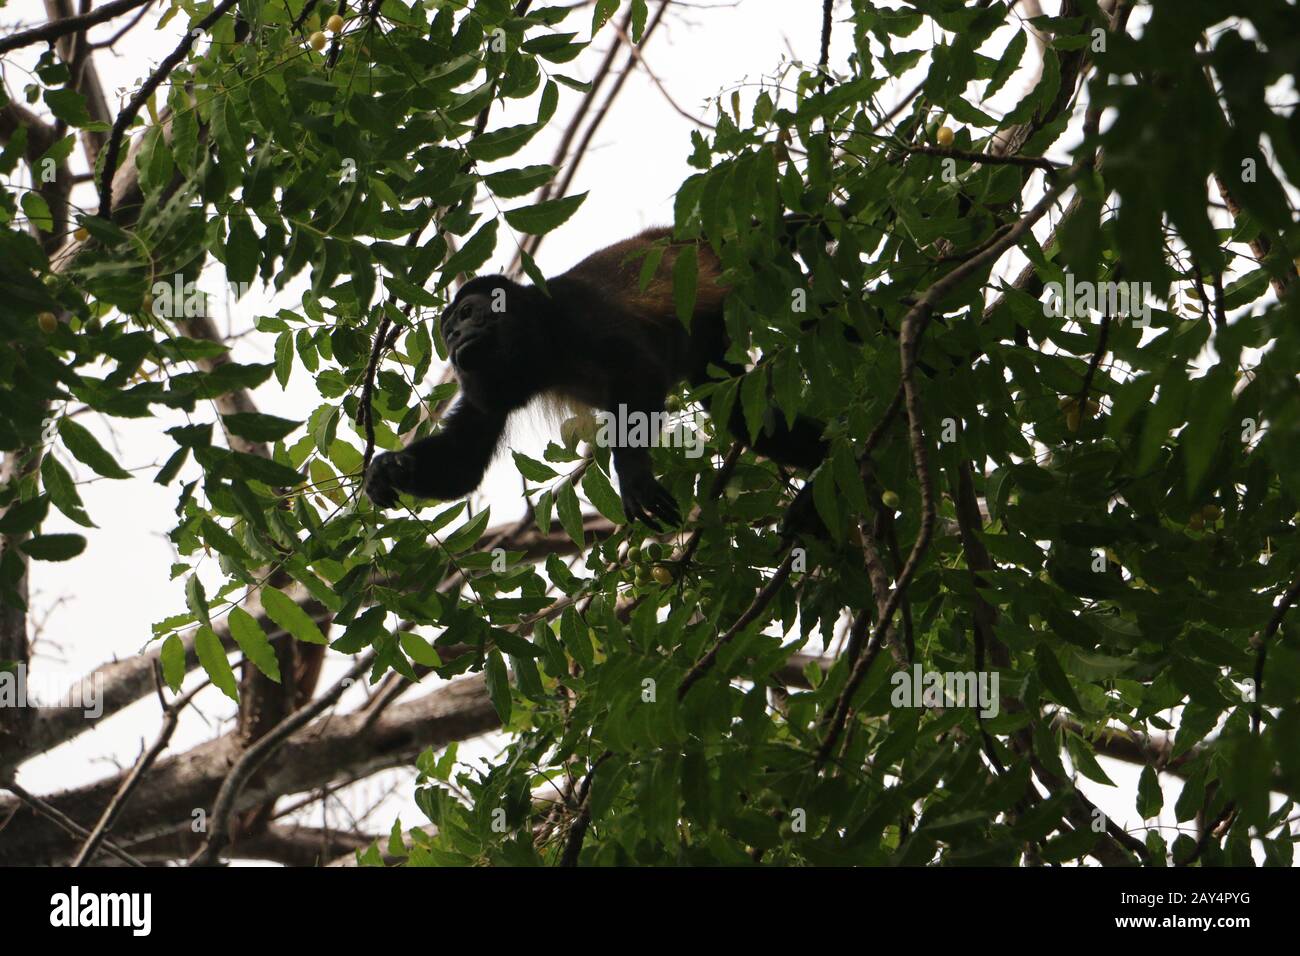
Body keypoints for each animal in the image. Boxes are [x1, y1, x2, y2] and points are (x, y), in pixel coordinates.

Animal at [364, 226, 831, 529]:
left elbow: (638, 371)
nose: (454, 337)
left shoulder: (575, 311)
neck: (537, 347)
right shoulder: (485, 387)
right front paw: (390, 469)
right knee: (745, 417)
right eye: (447, 331)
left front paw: (634, 478)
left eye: (466, 313)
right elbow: (465, 460)